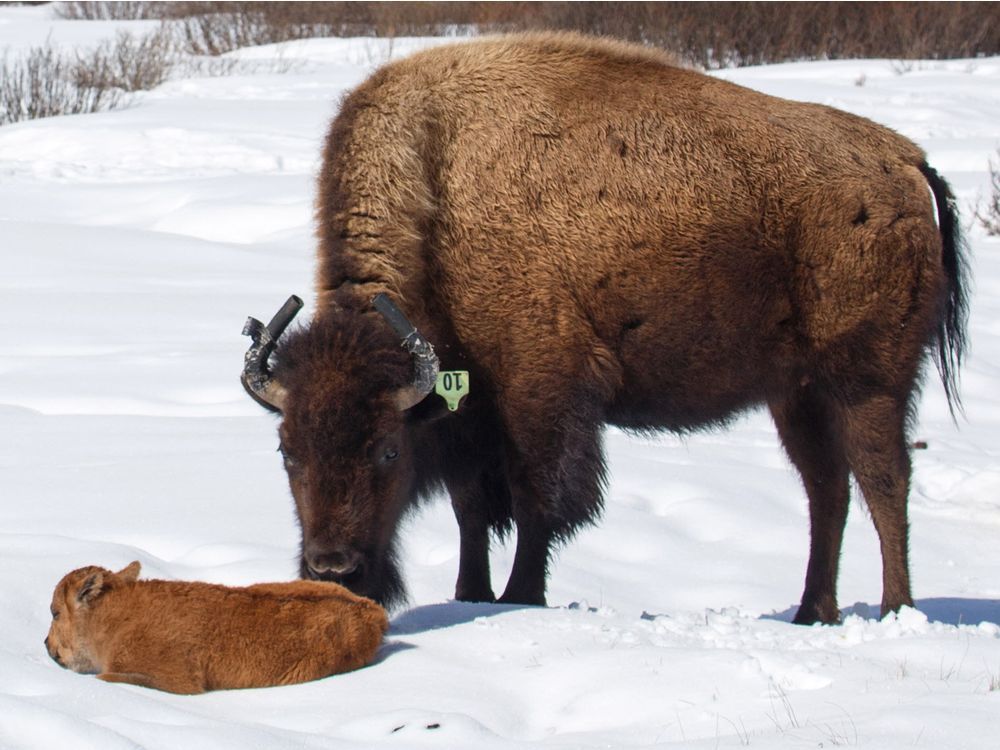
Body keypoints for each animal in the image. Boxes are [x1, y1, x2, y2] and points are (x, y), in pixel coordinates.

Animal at [240, 32, 967, 625]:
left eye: (387, 451)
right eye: (286, 451)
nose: (334, 568)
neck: (436, 190)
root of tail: (905, 161)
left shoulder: (540, 392)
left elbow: (537, 502)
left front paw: (519, 599)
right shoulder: (467, 411)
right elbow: (471, 508)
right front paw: (470, 594)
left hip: (867, 380)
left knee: (882, 481)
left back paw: (895, 611)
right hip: (797, 394)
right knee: (827, 490)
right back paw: (813, 613)